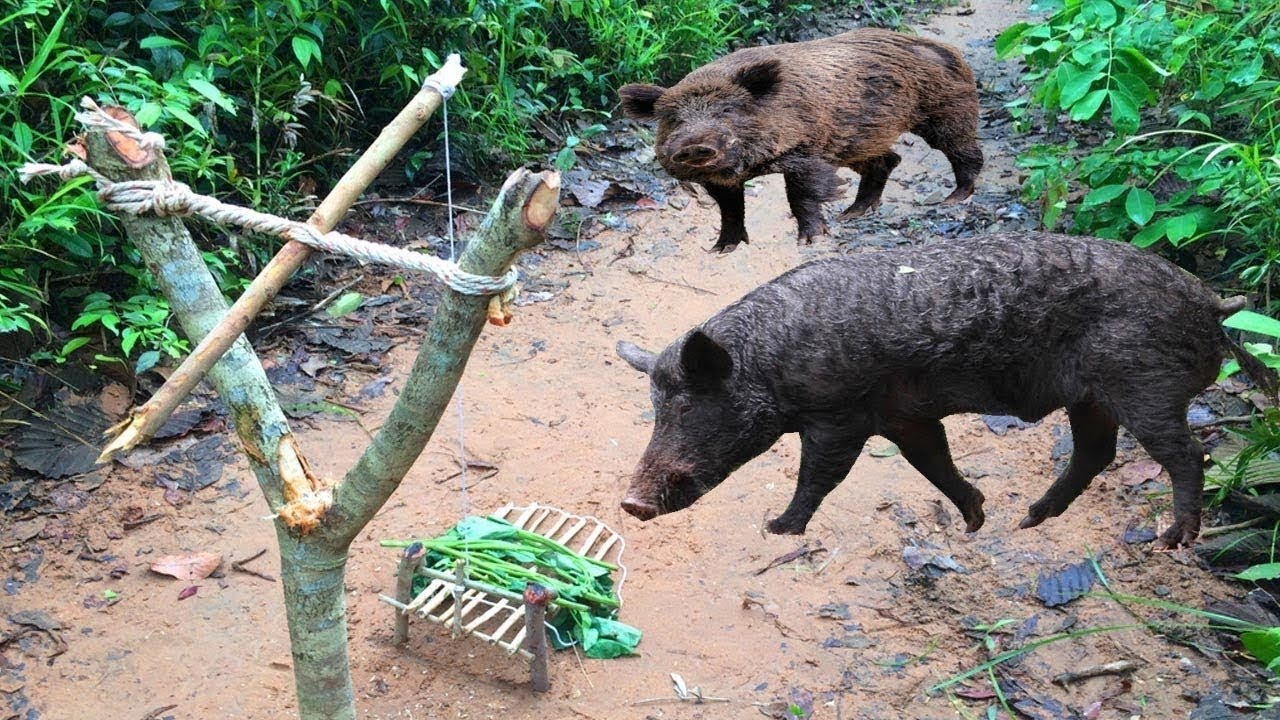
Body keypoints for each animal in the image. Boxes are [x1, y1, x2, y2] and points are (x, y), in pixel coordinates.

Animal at [615, 231, 1278, 547]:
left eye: (690, 406)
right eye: (654, 408)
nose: (632, 503)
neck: (770, 364)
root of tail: (1212, 301)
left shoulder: (841, 415)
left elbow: (821, 475)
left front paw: (777, 529)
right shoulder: (902, 416)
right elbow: (931, 459)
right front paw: (975, 520)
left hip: (1145, 383)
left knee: (1189, 455)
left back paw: (1172, 541)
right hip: (1094, 397)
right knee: (1097, 452)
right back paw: (1027, 521)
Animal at [617, 28, 983, 253]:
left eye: (727, 110)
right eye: (673, 119)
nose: (695, 146)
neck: (754, 167)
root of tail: (946, 49)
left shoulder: (806, 153)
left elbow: (802, 196)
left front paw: (811, 241)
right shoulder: (722, 182)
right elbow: (730, 210)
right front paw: (721, 250)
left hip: (946, 111)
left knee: (965, 152)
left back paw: (952, 200)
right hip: (857, 141)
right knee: (887, 160)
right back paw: (851, 215)